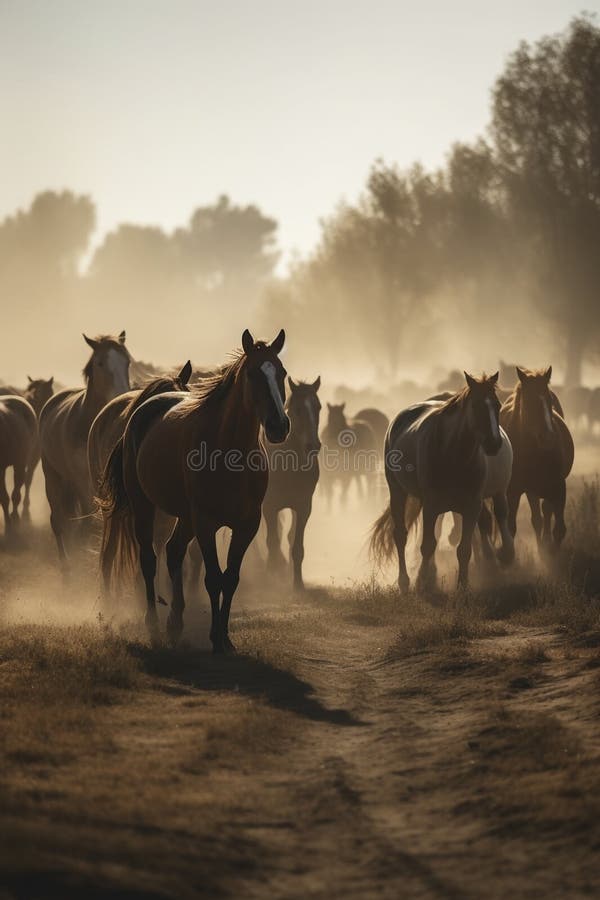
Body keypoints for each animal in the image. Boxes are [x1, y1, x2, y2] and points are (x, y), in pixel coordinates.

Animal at [40, 332, 131, 562]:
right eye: (100, 363)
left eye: (127, 362)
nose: (121, 395)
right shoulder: (83, 481)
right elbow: (87, 524)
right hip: (52, 476)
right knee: (58, 521)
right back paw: (67, 567)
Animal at [99, 329, 289, 652]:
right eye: (252, 374)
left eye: (282, 373)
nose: (279, 425)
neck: (229, 452)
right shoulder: (205, 523)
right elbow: (213, 578)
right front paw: (215, 638)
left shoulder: (247, 525)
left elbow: (231, 578)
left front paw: (224, 637)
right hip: (145, 507)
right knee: (149, 560)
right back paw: (153, 625)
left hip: (185, 517)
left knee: (174, 551)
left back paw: (175, 623)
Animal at [263, 376, 321, 590]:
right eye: (297, 410)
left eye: (318, 407)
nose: (313, 445)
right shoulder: (269, 507)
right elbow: (272, 541)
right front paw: (271, 576)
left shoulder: (303, 507)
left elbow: (296, 546)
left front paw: (297, 584)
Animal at [371, 372, 514, 592]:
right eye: (475, 406)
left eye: (497, 405)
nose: (494, 443)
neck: (453, 455)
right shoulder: (431, 506)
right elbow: (428, 545)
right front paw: (423, 580)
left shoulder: (472, 505)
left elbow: (464, 549)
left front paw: (463, 585)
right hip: (398, 492)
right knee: (400, 536)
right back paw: (404, 581)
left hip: (496, 493)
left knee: (499, 514)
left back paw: (503, 555)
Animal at [500, 366, 574, 555]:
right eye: (529, 402)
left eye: (549, 400)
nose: (548, 438)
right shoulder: (513, 491)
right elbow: (511, 528)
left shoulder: (558, 486)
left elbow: (559, 529)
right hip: (531, 490)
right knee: (537, 518)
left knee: (545, 513)